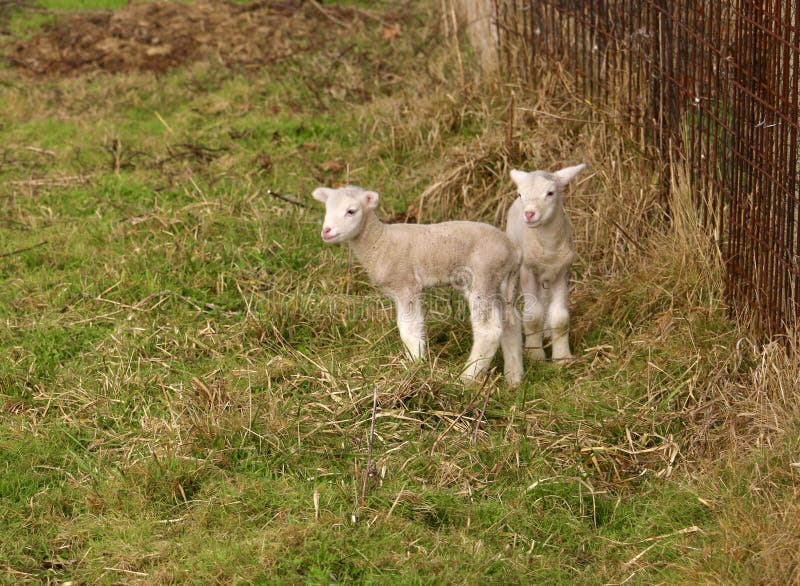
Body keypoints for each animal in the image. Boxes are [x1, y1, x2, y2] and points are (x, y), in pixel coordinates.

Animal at [312, 184, 523, 387]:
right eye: (327, 209)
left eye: (351, 211)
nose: (326, 231)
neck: (379, 242)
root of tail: (514, 250)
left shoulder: (406, 284)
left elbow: (408, 330)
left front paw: (415, 367)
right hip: (498, 282)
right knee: (511, 323)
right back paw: (514, 379)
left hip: (483, 275)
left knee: (488, 331)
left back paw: (466, 379)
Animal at [506, 164, 586, 362]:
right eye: (521, 194)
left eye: (550, 193)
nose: (529, 214)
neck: (549, 247)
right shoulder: (528, 271)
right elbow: (533, 316)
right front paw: (534, 354)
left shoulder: (562, 272)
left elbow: (560, 318)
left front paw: (563, 357)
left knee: (544, 300)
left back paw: (547, 333)